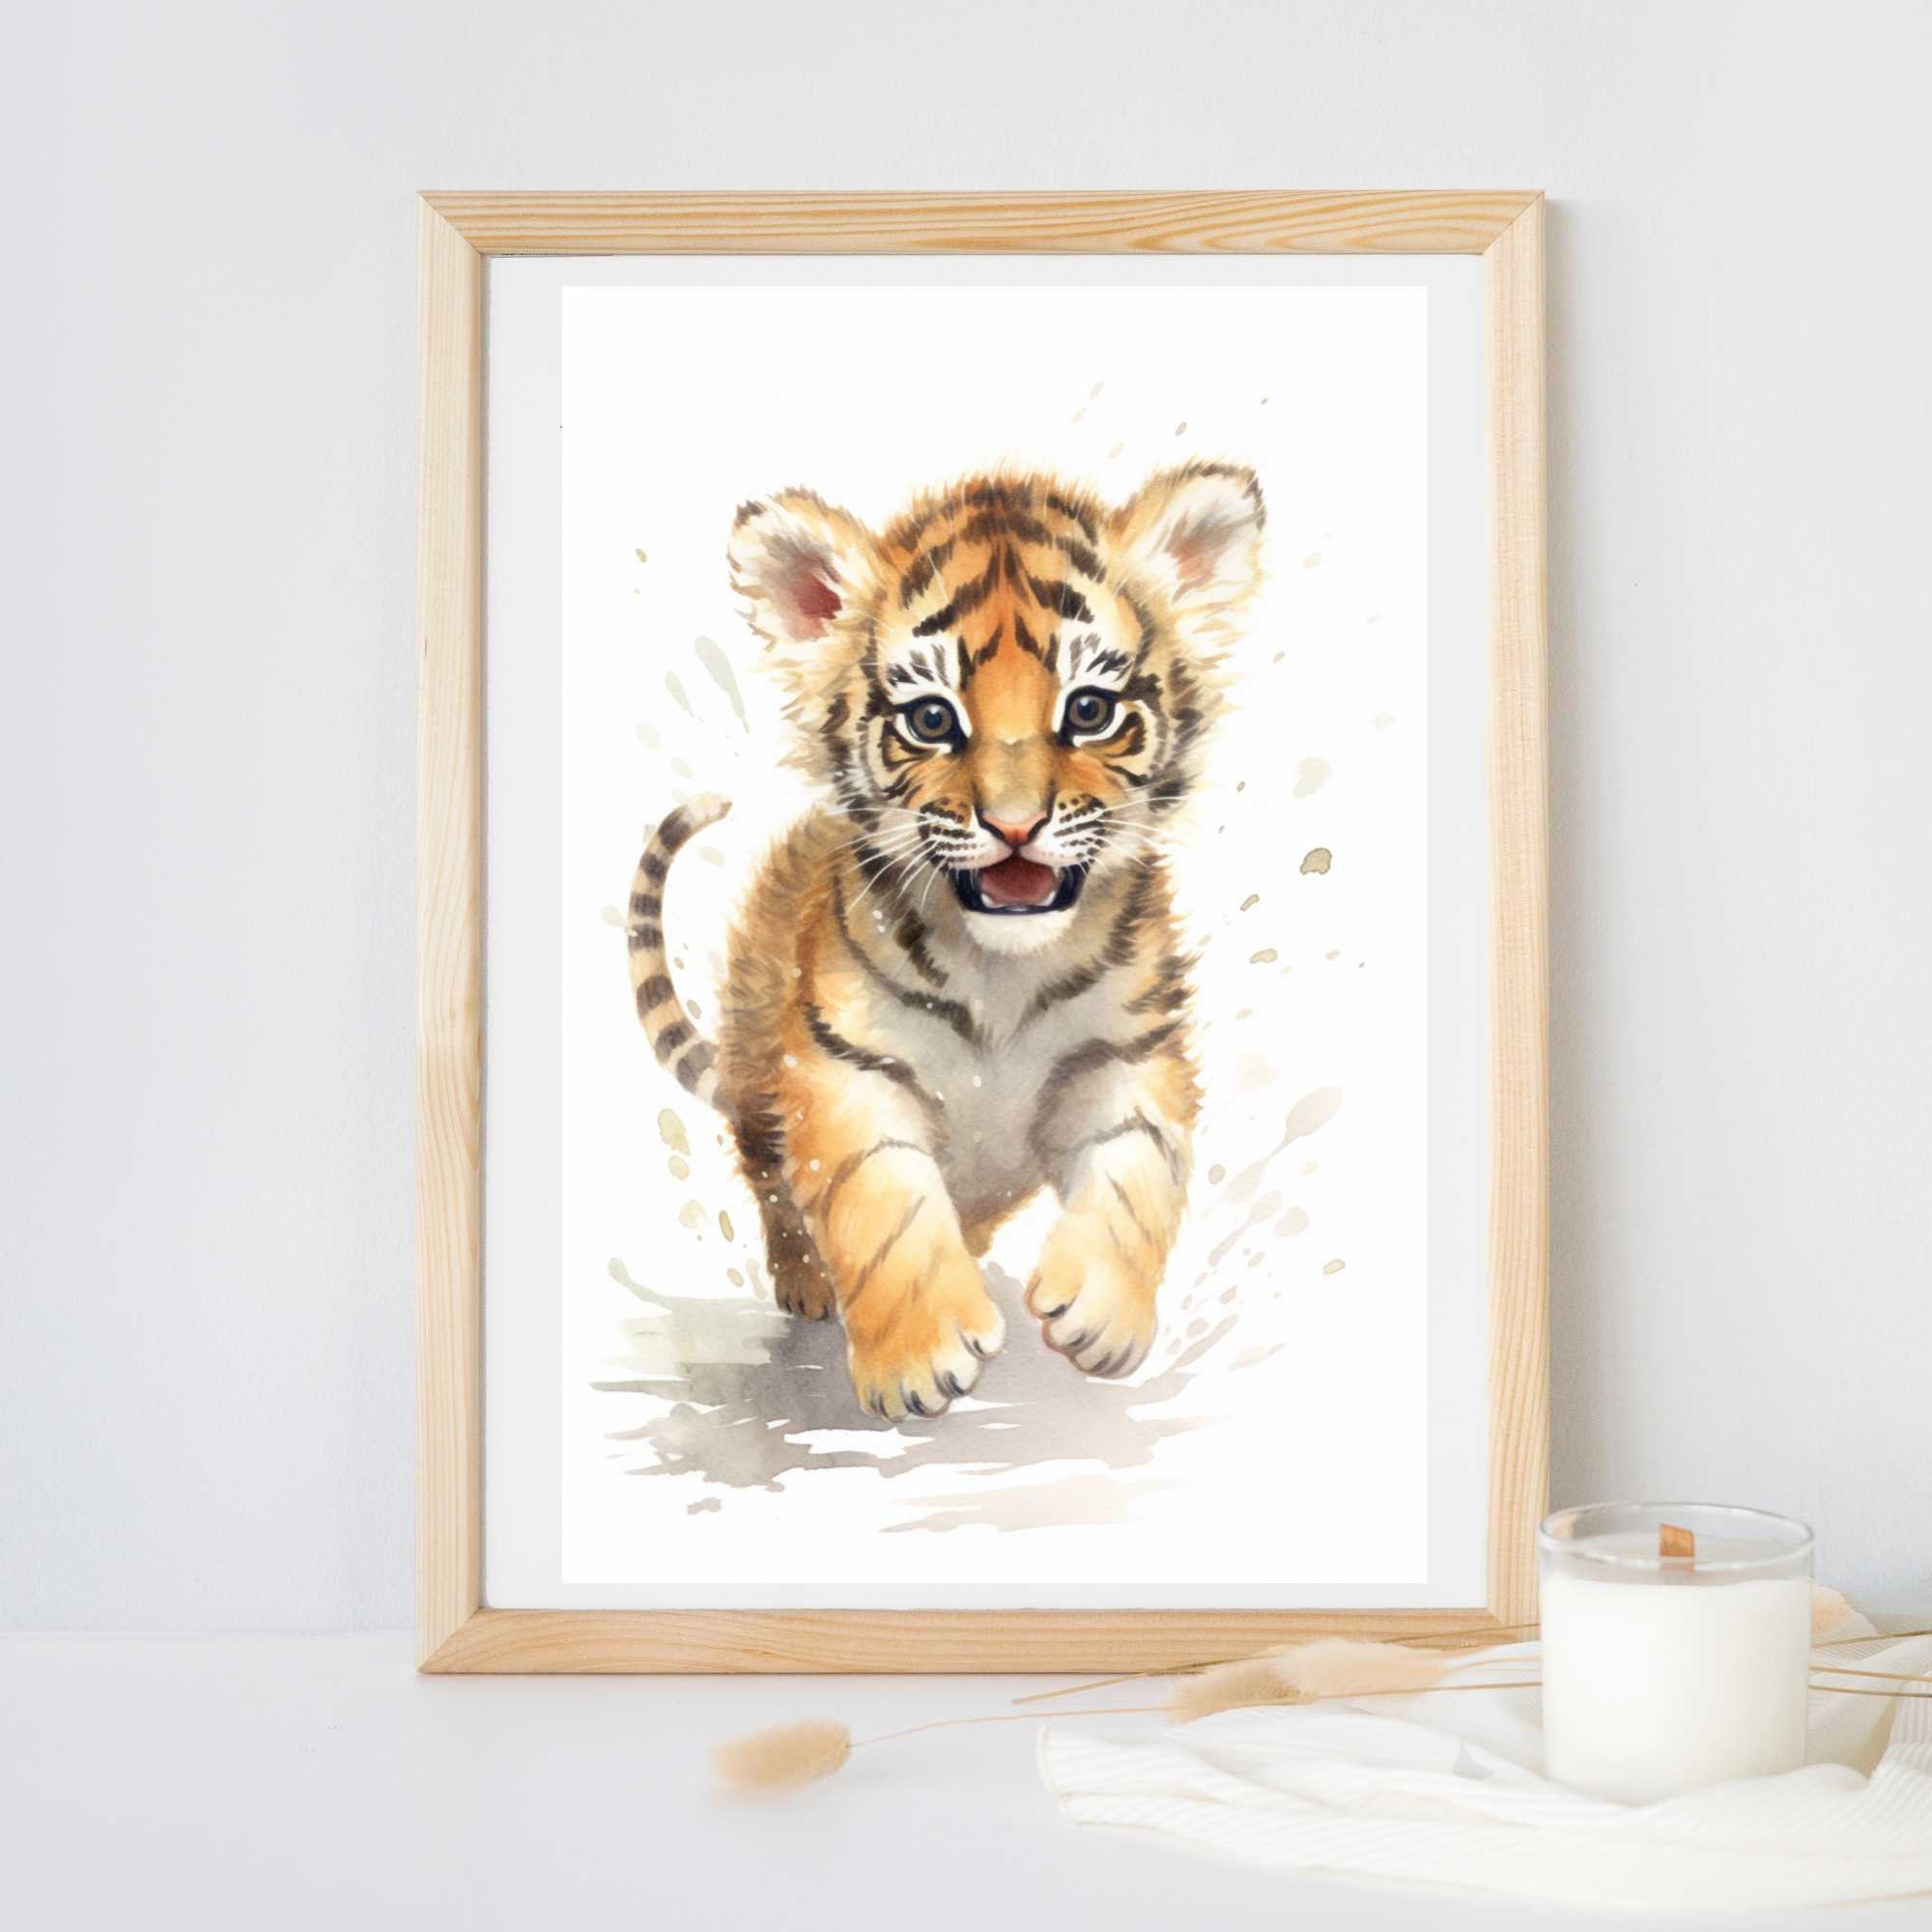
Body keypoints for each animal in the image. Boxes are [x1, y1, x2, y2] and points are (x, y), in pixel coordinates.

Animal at [628, 462, 1266, 1421]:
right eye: (931, 720)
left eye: (1089, 710)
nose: (1015, 826)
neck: (1002, 968)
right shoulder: (846, 1069)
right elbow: (881, 1200)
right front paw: (917, 1360)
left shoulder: (1127, 1056)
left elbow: (1135, 1177)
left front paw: (1103, 1317)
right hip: (758, 1063)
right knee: (774, 1186)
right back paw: (809, 1284)